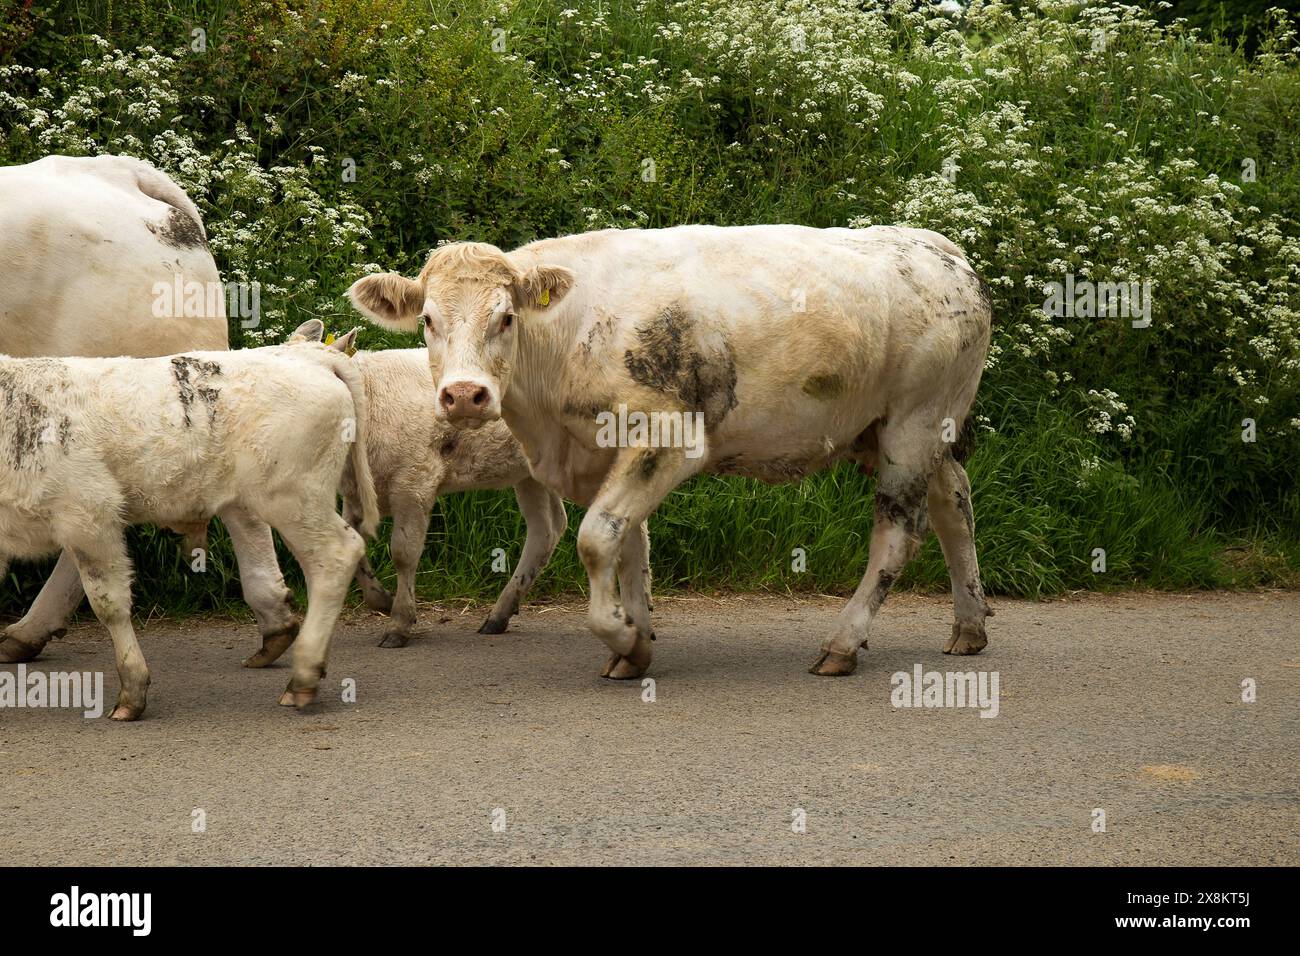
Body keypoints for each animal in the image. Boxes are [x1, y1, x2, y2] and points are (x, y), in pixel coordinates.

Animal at [0, 343, 378, 719]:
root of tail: (307, 353)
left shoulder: (88, 514)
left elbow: (109, 604)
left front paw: (132, 690)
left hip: (293, 498)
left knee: (337, 555)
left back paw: (304, 674)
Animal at [285, 320, 571, 646]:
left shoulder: (415, 481)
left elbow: (403, 553)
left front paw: (399, 623)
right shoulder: (358, 493)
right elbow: (353, 544)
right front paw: (382, 600)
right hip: (530, 471)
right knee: (547, 528)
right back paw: (499, 614)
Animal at [348, 224, 992, 679]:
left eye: (505, 317)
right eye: (428, 320)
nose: (464, 395)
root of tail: (942, 251)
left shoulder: (668, 436)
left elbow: (595, 539)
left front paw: (622, 634)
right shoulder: (603, 456)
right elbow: (628, 546)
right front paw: (634, 645)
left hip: (914, 422)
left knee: (899, 531)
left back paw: (843, 643)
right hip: (897, 431)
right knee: (953, 504)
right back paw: (969, 626)